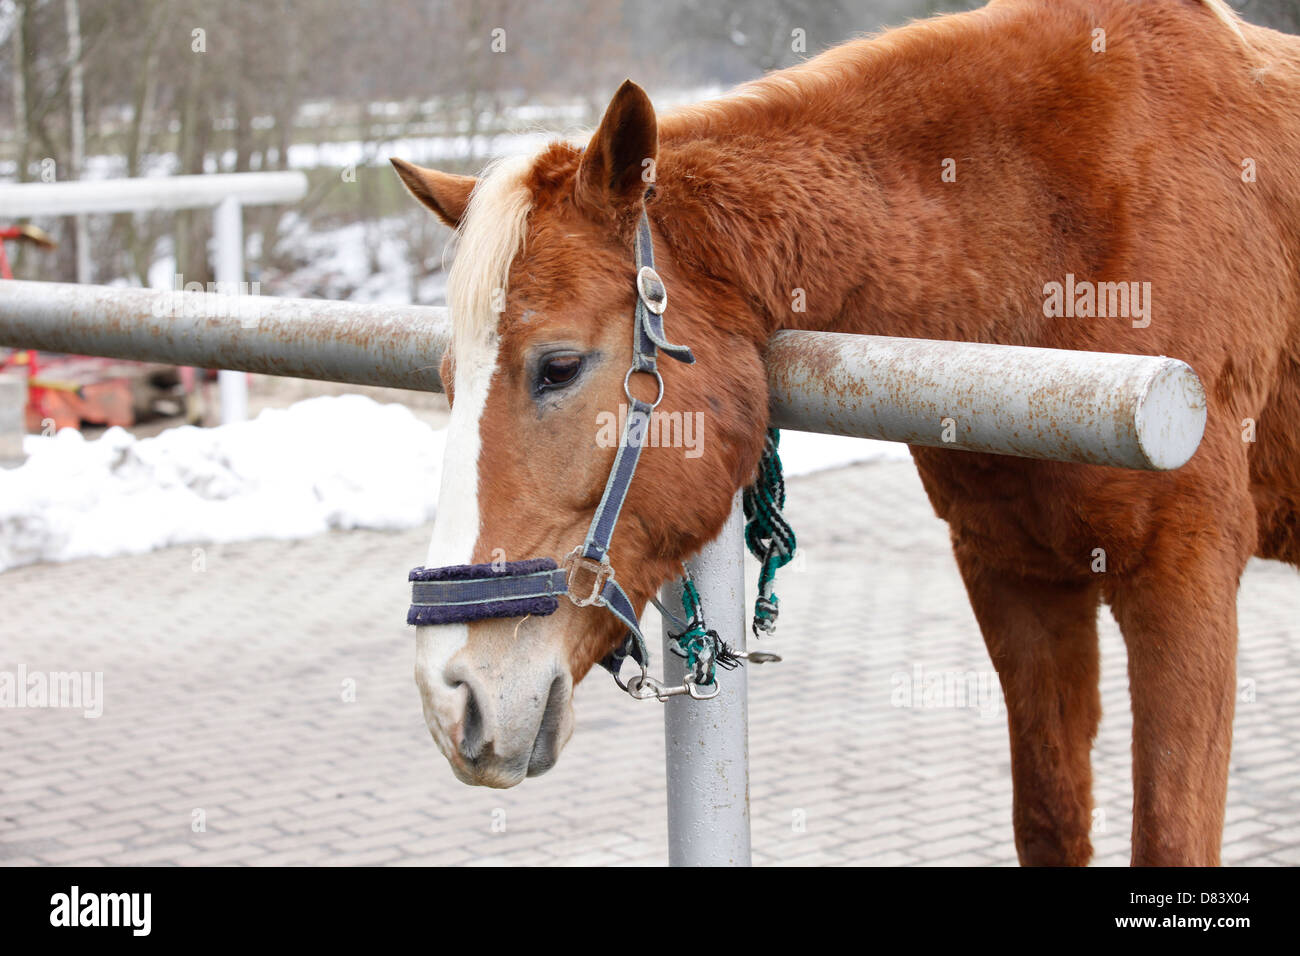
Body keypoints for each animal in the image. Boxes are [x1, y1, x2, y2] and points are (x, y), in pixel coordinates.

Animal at [392, 0, 1300, 868]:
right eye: (446, 381)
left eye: (558, 366)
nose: (451, 694)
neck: (1055, 233)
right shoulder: (1015, 574)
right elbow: (1050, 821)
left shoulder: (1183, 580)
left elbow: (1171, 839)